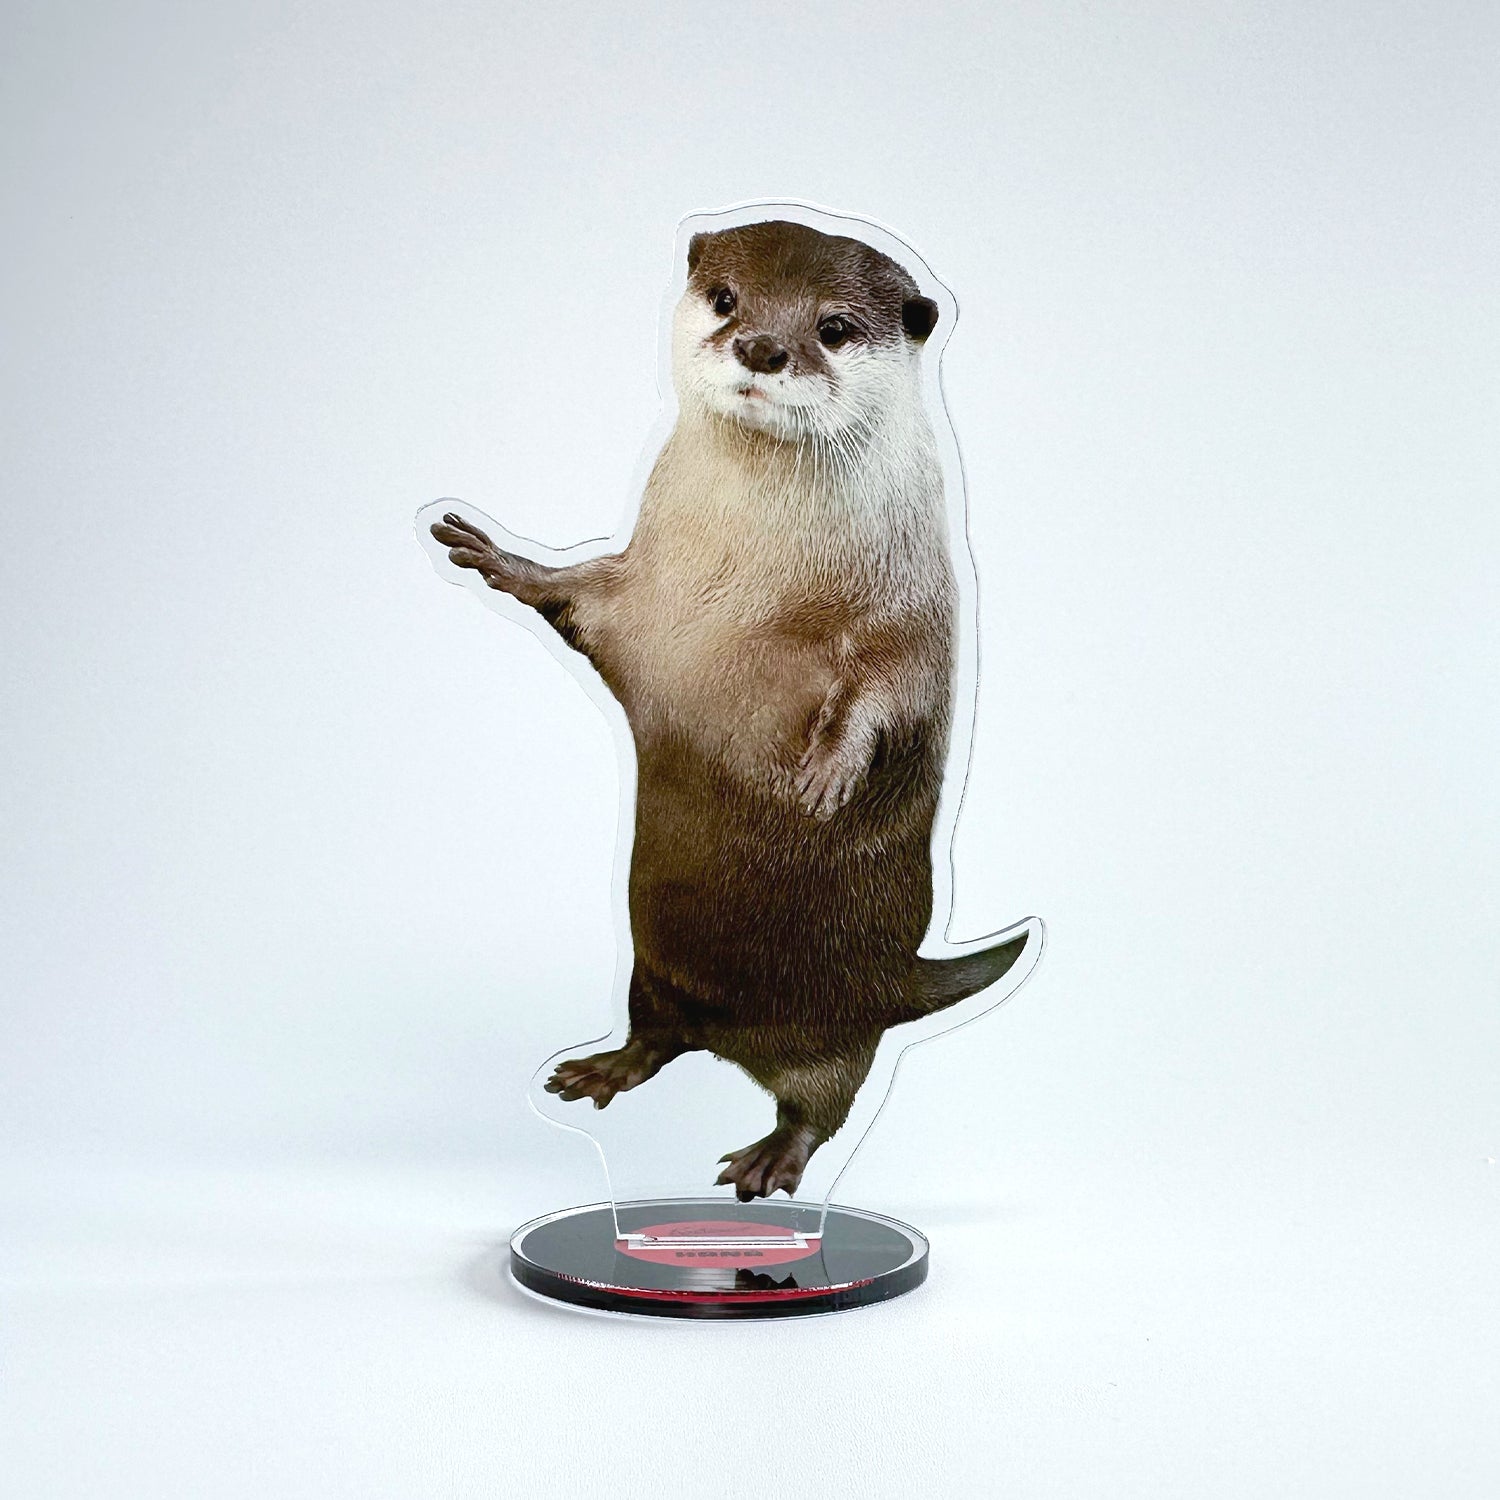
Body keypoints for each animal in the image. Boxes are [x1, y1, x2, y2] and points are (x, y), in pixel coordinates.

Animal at [430, 218, 1027, 1200]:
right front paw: (496, 557)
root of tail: (893, 978)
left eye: (832, 327)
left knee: (824, 1102)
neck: (745, 584)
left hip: (831, 1021)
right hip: (653, 966)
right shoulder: (634, 601)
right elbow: (570, 591)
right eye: (725, 299)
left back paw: (771, 1159)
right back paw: (604, 1067)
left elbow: (889, 690)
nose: (760, 346)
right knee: (660, 1034)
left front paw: (828, 772)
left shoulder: (915, 613)